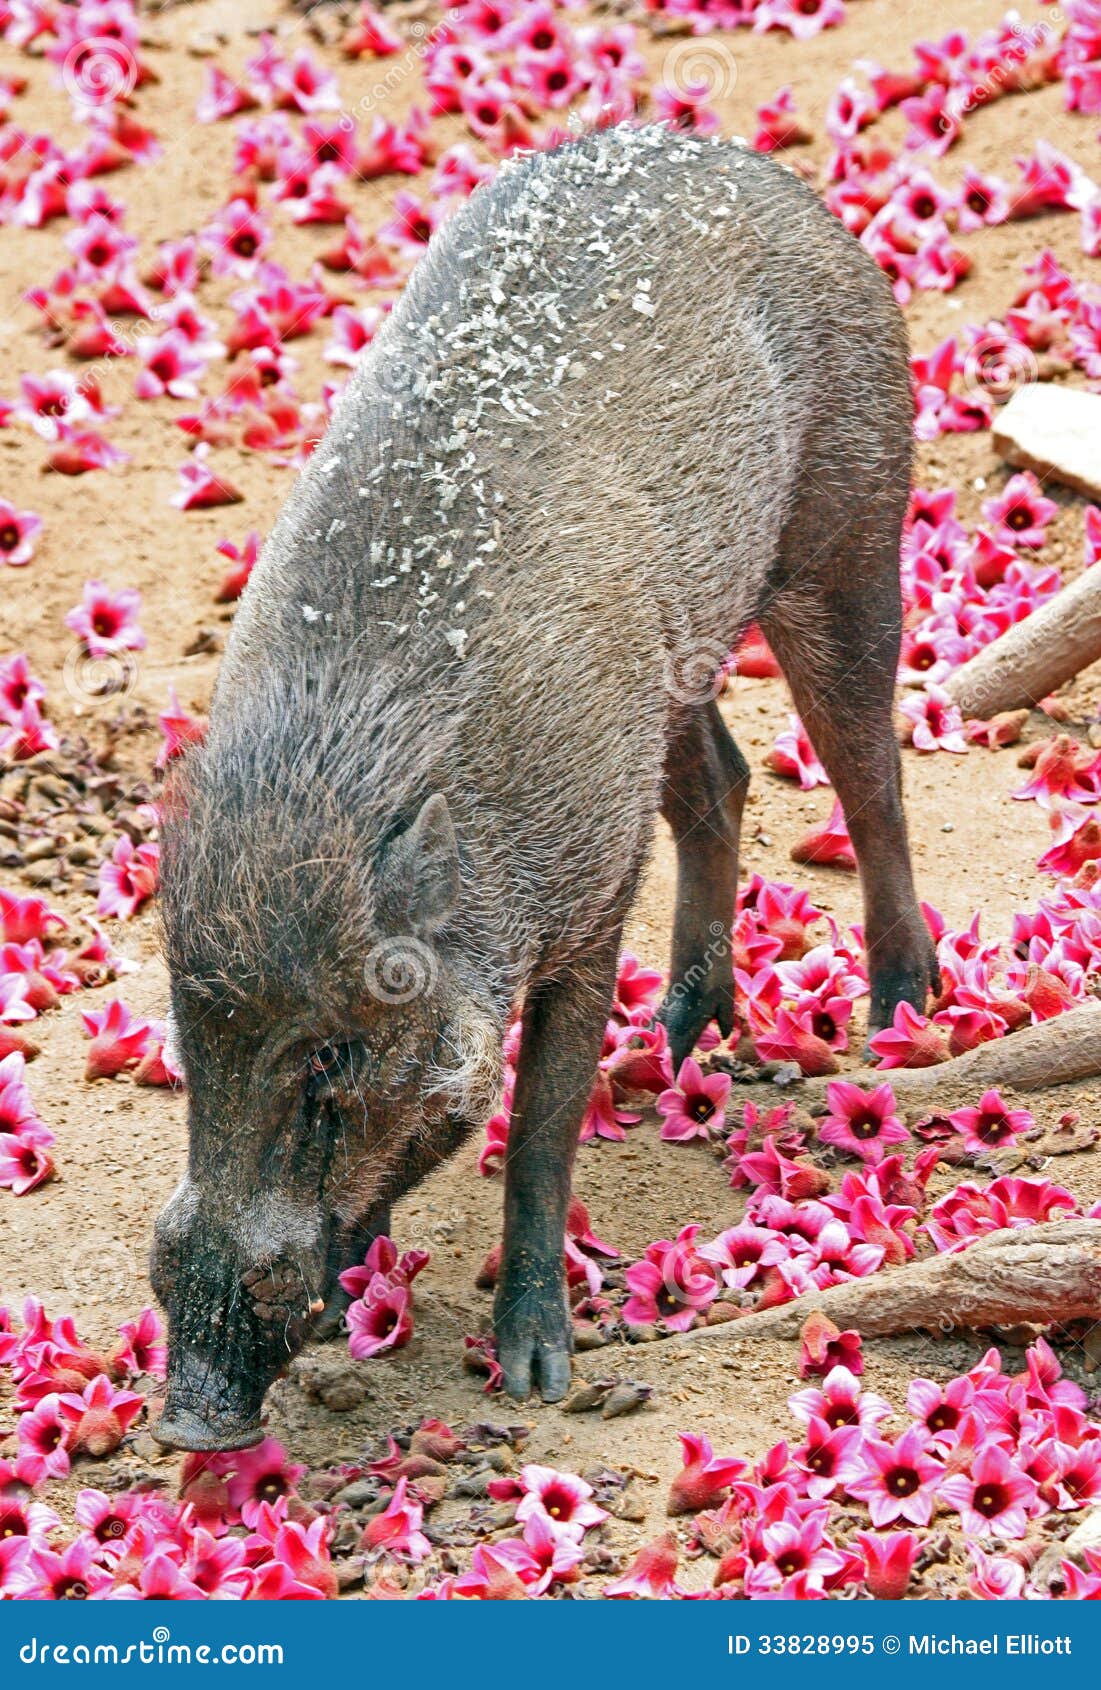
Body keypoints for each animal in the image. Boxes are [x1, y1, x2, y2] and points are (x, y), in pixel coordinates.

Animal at [150, 124, 936, 1451]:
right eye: (190, 1047)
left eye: (329, 1058)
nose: (190, 1424)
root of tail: (768, 178)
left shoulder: (590, 899)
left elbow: (539, 1131)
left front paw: (535, 1375)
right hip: (674, 678)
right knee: (722, 781)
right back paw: (684, 1037)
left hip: (847, 539)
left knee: (870, 777)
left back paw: (899, 1019)